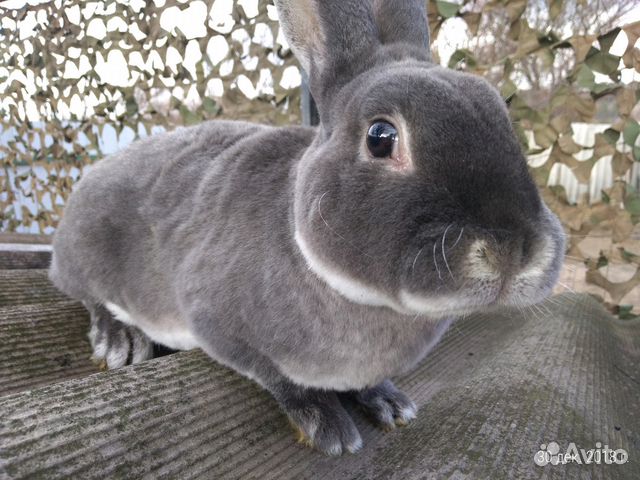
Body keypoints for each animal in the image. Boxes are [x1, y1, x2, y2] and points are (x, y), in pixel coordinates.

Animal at [49, 0, 565, 455]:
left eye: (505, 120)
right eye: (381, 137)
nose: (514, 249)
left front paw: (389, 402)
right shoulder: (216, 322)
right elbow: (279, 376)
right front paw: (328, 426)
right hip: (85, 255)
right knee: (86, 295)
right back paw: (118, 340)